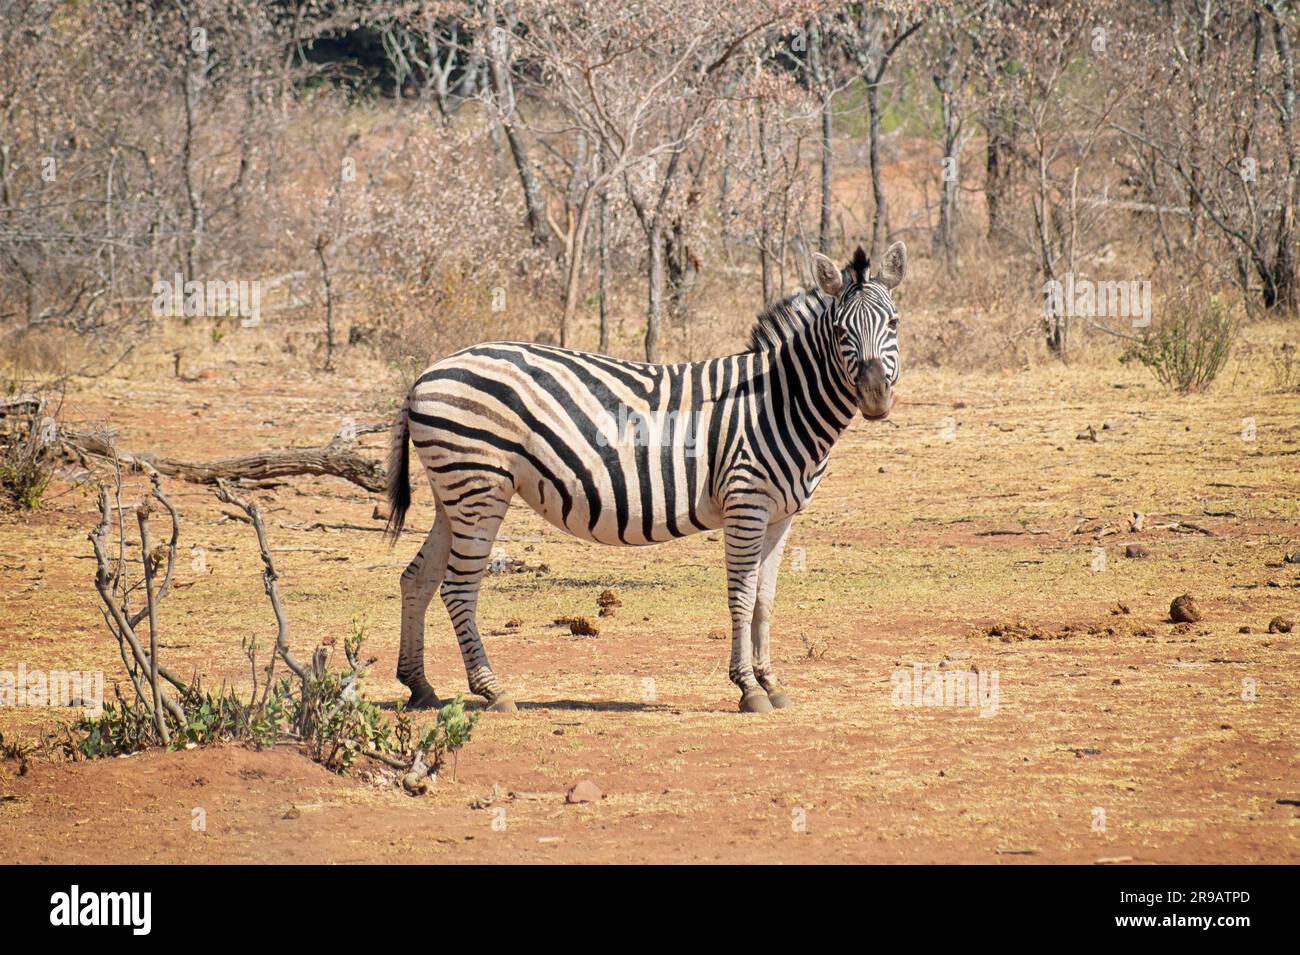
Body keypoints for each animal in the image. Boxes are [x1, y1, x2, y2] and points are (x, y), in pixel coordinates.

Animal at [384, 241, 906, 714]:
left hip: (453, 491)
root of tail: (425, 375)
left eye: (894, 323)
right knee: (457, 588)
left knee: (417, 579)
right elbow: (740, 598)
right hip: (479, 487)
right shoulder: (745, 505)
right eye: (839, 330)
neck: (777, 403)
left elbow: (765, 600)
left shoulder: (780, 516)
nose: (876, 397)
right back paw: (493, 691)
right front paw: (748, 689)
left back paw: (420, 687)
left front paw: (771, 682)